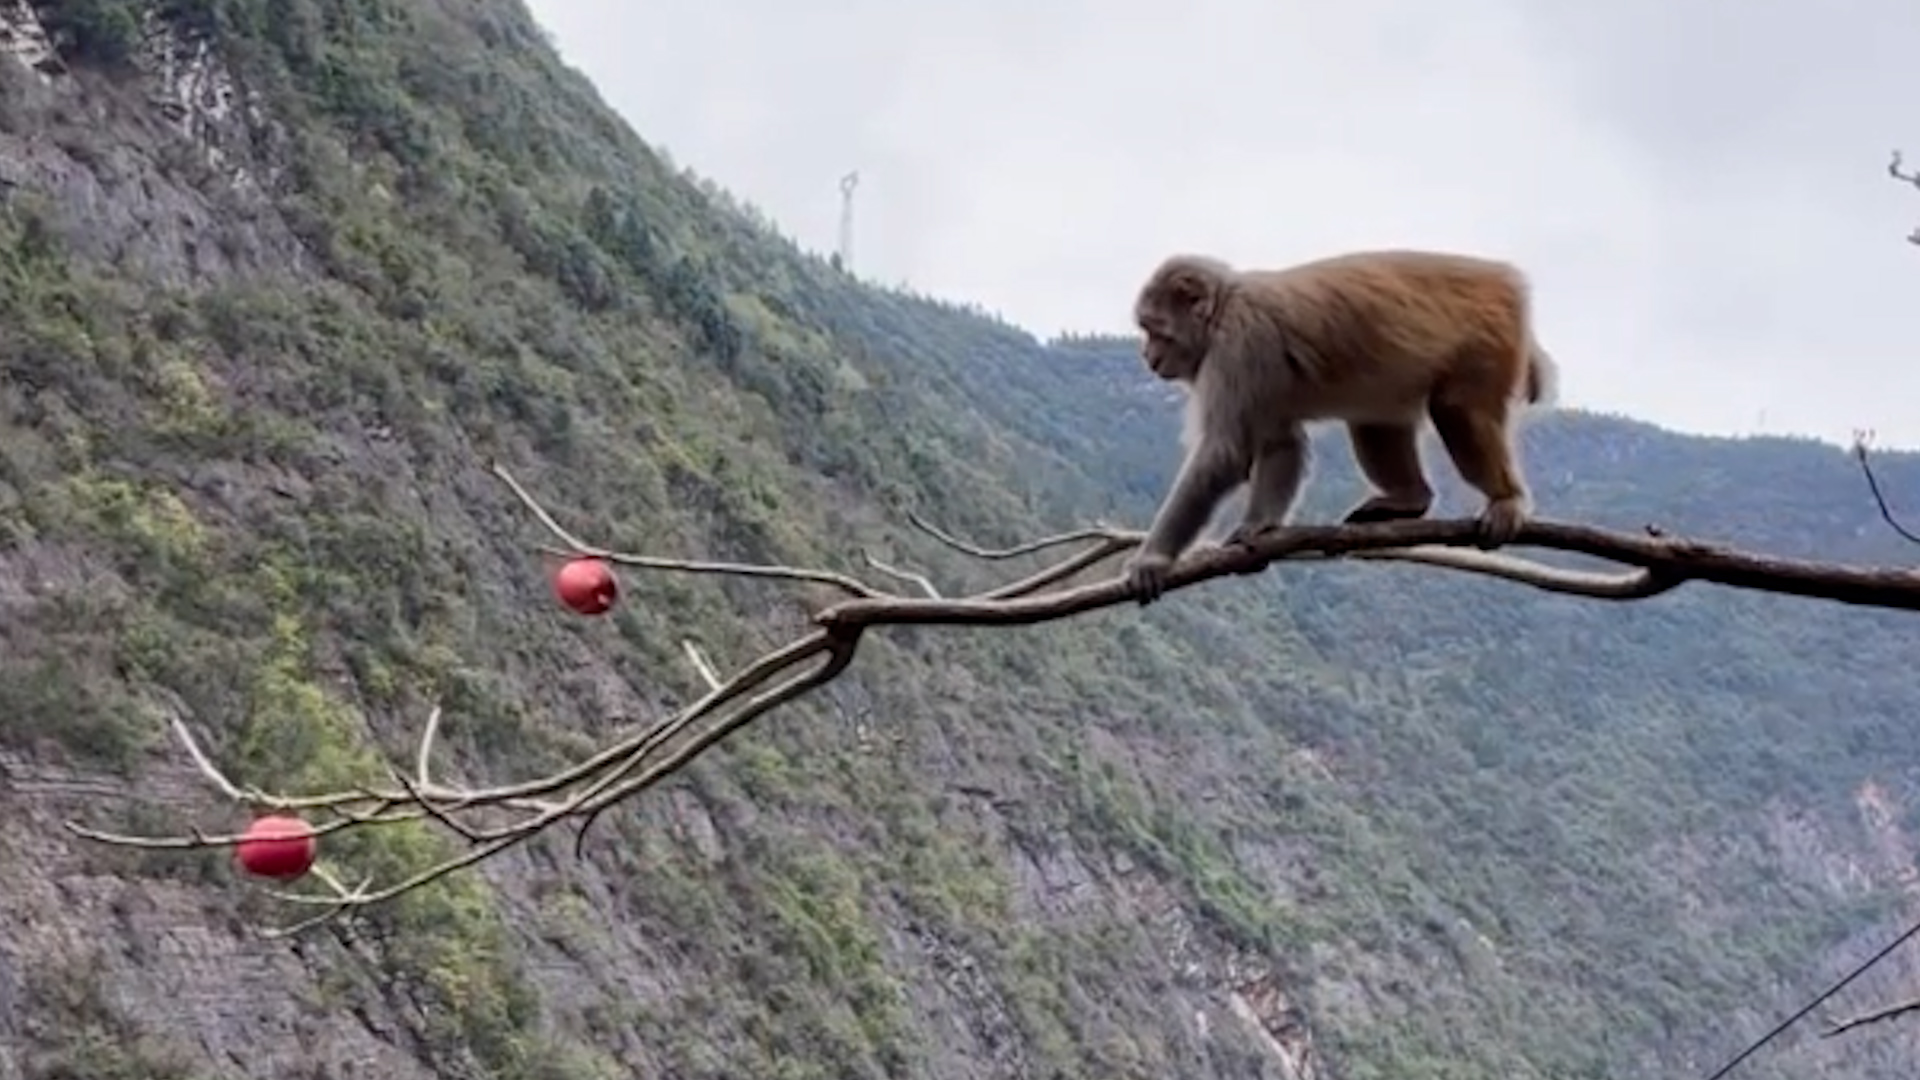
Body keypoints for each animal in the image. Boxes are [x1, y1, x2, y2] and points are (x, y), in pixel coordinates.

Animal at [1122, 248, 1559, 604]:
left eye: (1155, 330)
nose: (1147, 355)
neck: (1223, 310)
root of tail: (1504, 277)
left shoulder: (1239, 345)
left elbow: (1224, 453)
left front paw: (1153, 560)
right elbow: (1280, 442)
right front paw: (1260, 528)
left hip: (1490, 336)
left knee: (1457, 409)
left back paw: (1506, 498)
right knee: (1373, 416)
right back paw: (1409, 498)